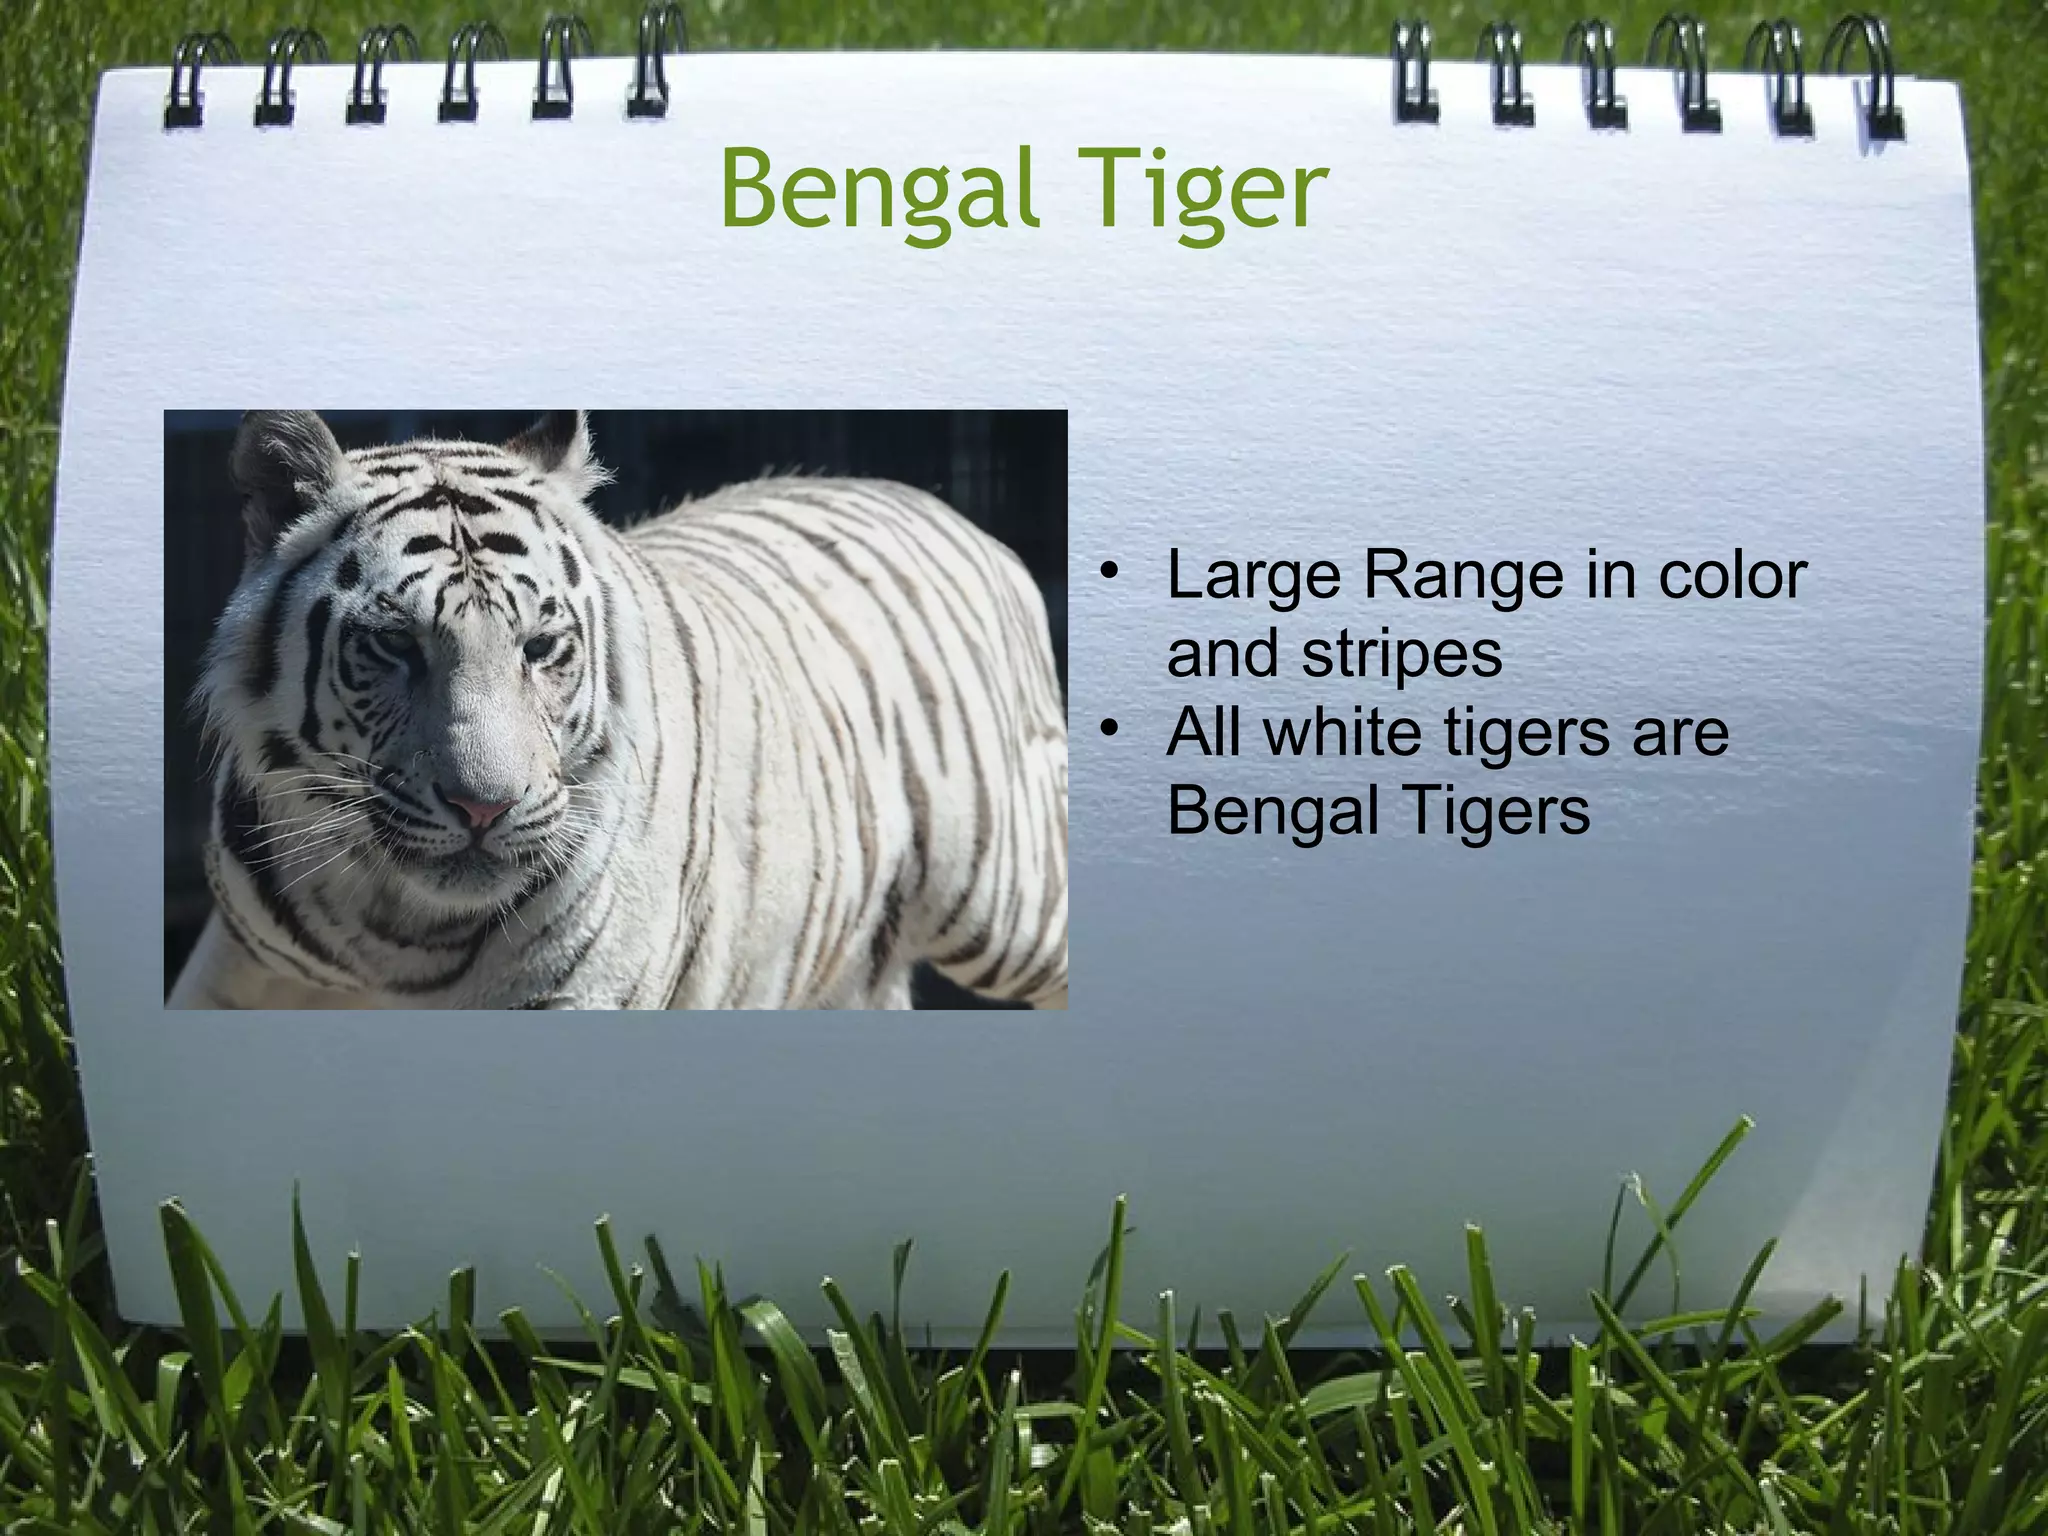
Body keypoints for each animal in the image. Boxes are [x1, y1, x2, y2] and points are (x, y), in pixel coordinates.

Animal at [166, 411, 1069, 1010]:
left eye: (539, 648)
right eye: (394, 645)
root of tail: (951, 511)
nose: (482, 808)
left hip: (1008, 902)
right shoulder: (238, 975)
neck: (396, 931)